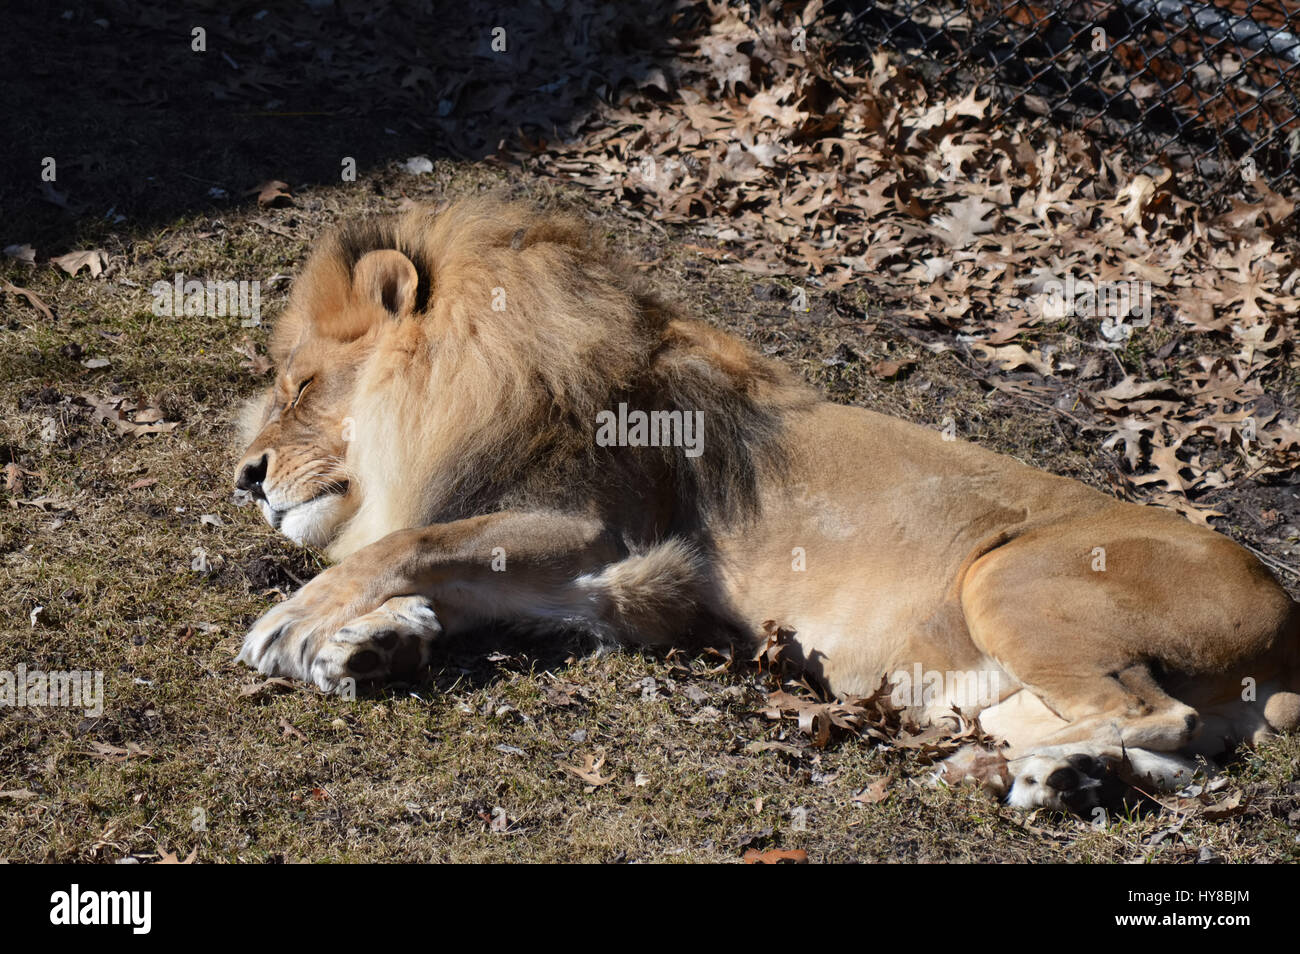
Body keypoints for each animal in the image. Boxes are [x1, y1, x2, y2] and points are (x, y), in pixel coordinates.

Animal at [234, 197, 1300, 810]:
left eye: (301, 385)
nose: (245, 476)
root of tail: (1286, 625)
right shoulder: (626, 581)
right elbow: (440, 573)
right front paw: (375, 641)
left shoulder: (594, 526)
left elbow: (402, 541)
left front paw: (293, 625)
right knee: (1175, 748)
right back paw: (1045, 776)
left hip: (1010, 580)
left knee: (1157, 714)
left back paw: (1030, 776)